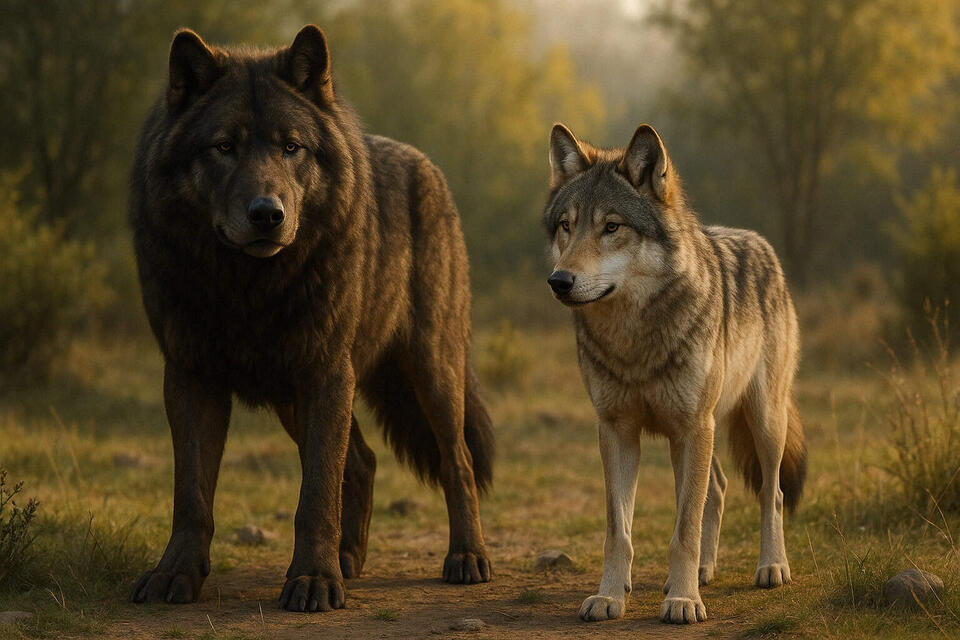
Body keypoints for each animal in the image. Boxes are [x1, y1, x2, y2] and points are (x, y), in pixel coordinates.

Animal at [128, 25, 494, 612]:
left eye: (291, 147)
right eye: (224, 146)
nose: (267, 214)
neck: (248, 287)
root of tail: (426, 164)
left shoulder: (325, 373)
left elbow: (316, 493)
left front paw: (314, 581)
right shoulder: (190, 377)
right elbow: (191, 495)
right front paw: (175, 574)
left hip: (430, 372)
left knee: (455, 460)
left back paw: (466, 558)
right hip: (293, 402)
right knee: (363, 461)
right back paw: (349, 560)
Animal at [543, 123, 806, 624]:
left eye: (611, 227)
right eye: (566, 225)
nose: (559, 281)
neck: (634, 340)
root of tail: (762, 244)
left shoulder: (691, 427)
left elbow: (683, 529)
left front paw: (683, 602)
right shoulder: (616, 430)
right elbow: (618, 531)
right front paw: (610, 596)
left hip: (760, 421)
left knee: (773, 494)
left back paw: (772, 567)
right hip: (695, 434)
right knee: (717, 489)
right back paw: (703, 571)